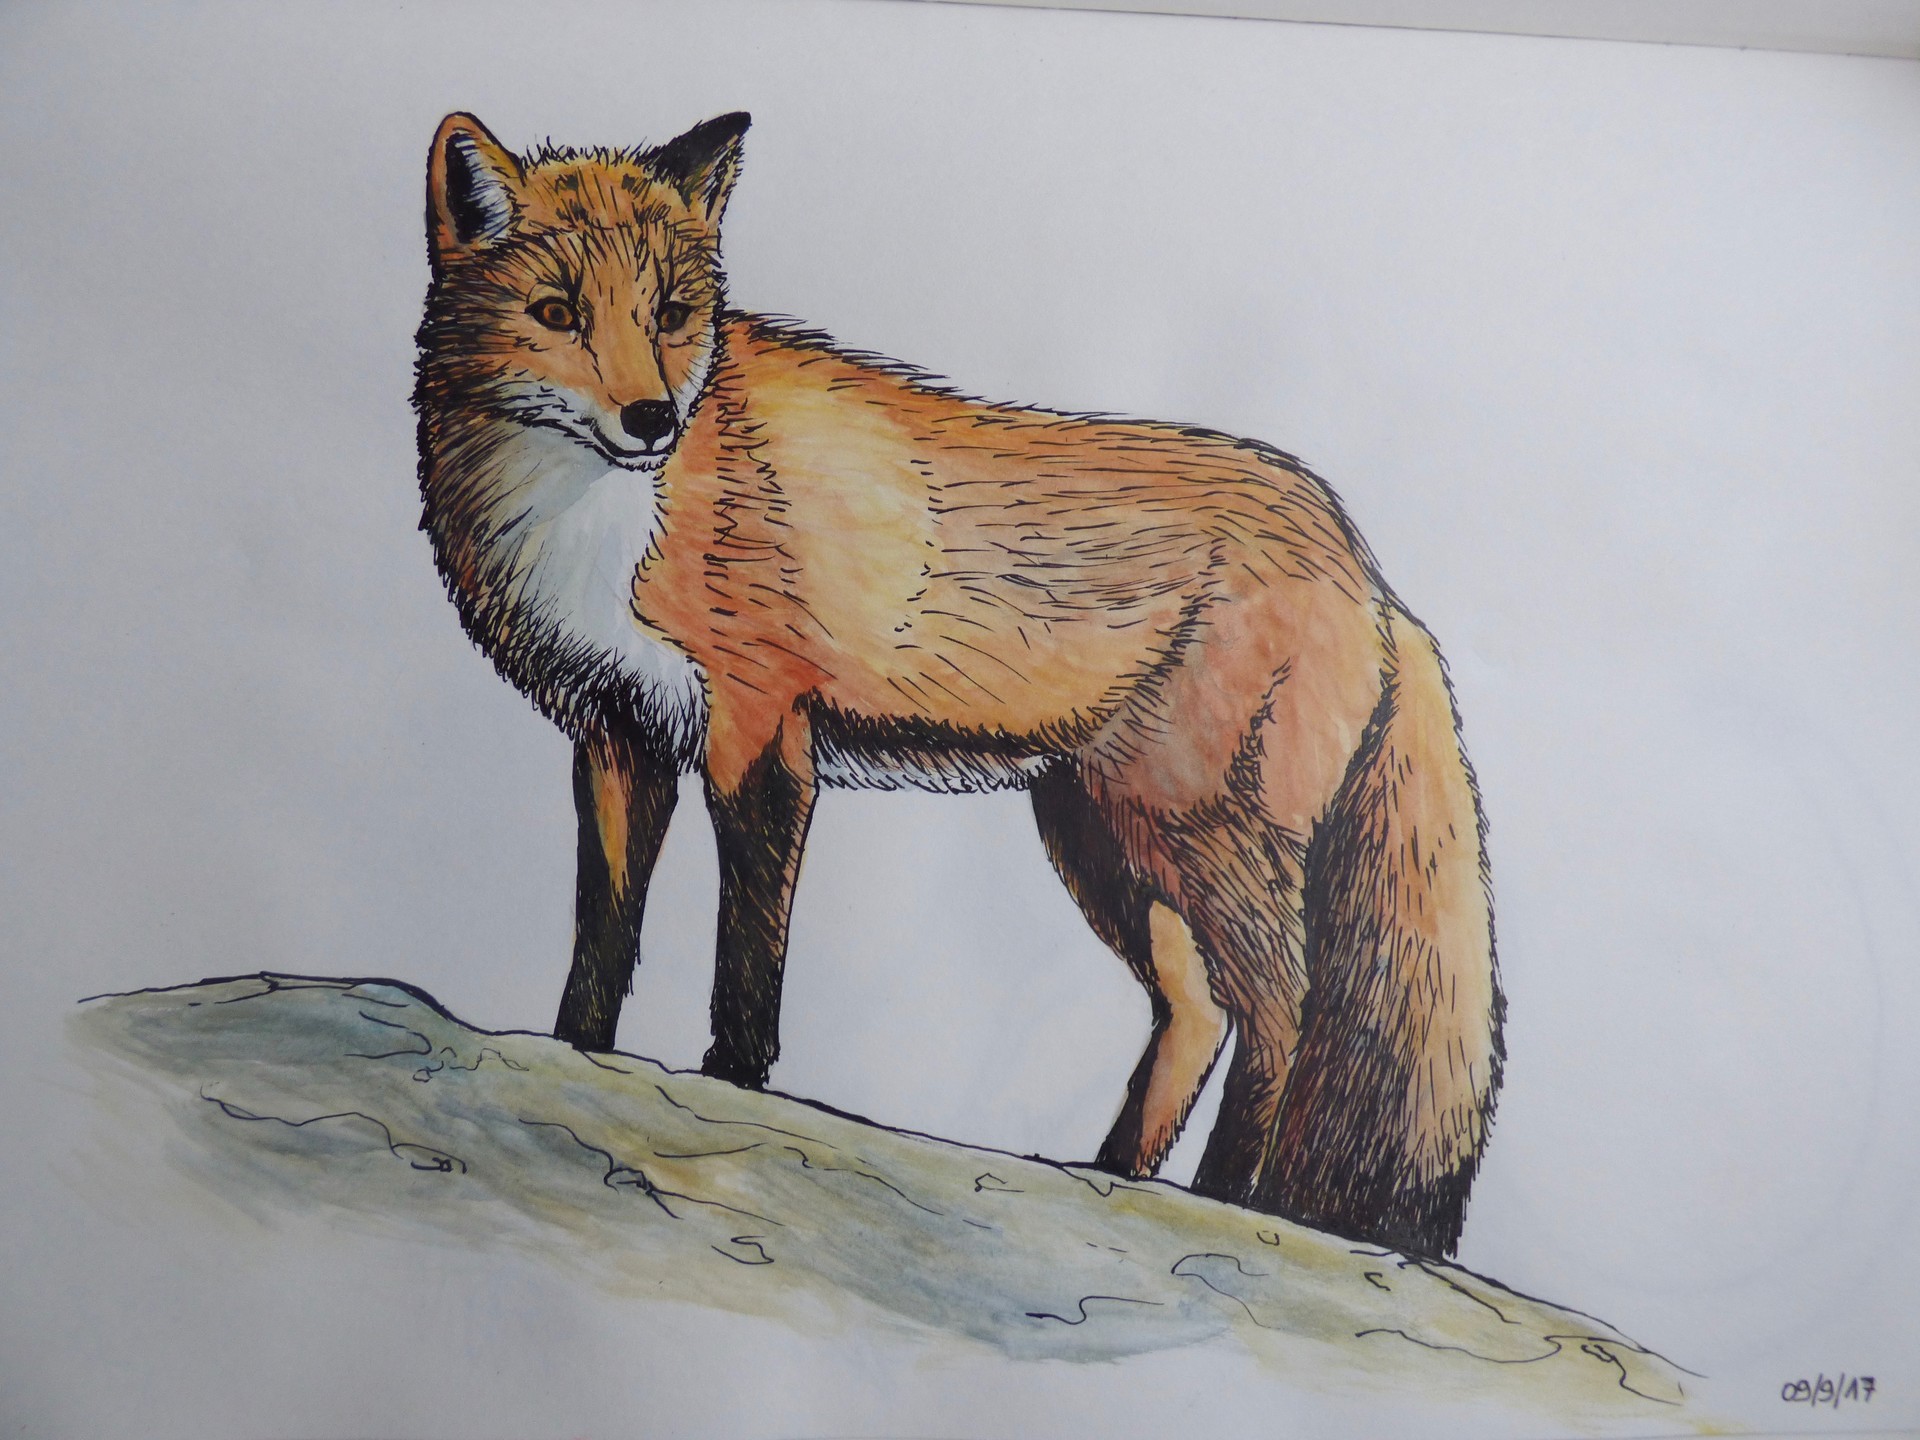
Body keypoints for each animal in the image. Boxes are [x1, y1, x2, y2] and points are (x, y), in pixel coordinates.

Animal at [414, 111, 1504, 1258]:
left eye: (670, 314)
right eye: (557, 313)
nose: (650, 419)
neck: (600, 527)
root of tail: (1373, 573)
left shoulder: (762, 732)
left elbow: (747, 960)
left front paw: (732, 1091)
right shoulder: (620, 735)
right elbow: (603, 936)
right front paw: (575, 1056)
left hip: (1196, 829)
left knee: (1284, 1011)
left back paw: (1222, 1201)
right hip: (1104, 836)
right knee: (1198, 1012)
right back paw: (1108, 1178)